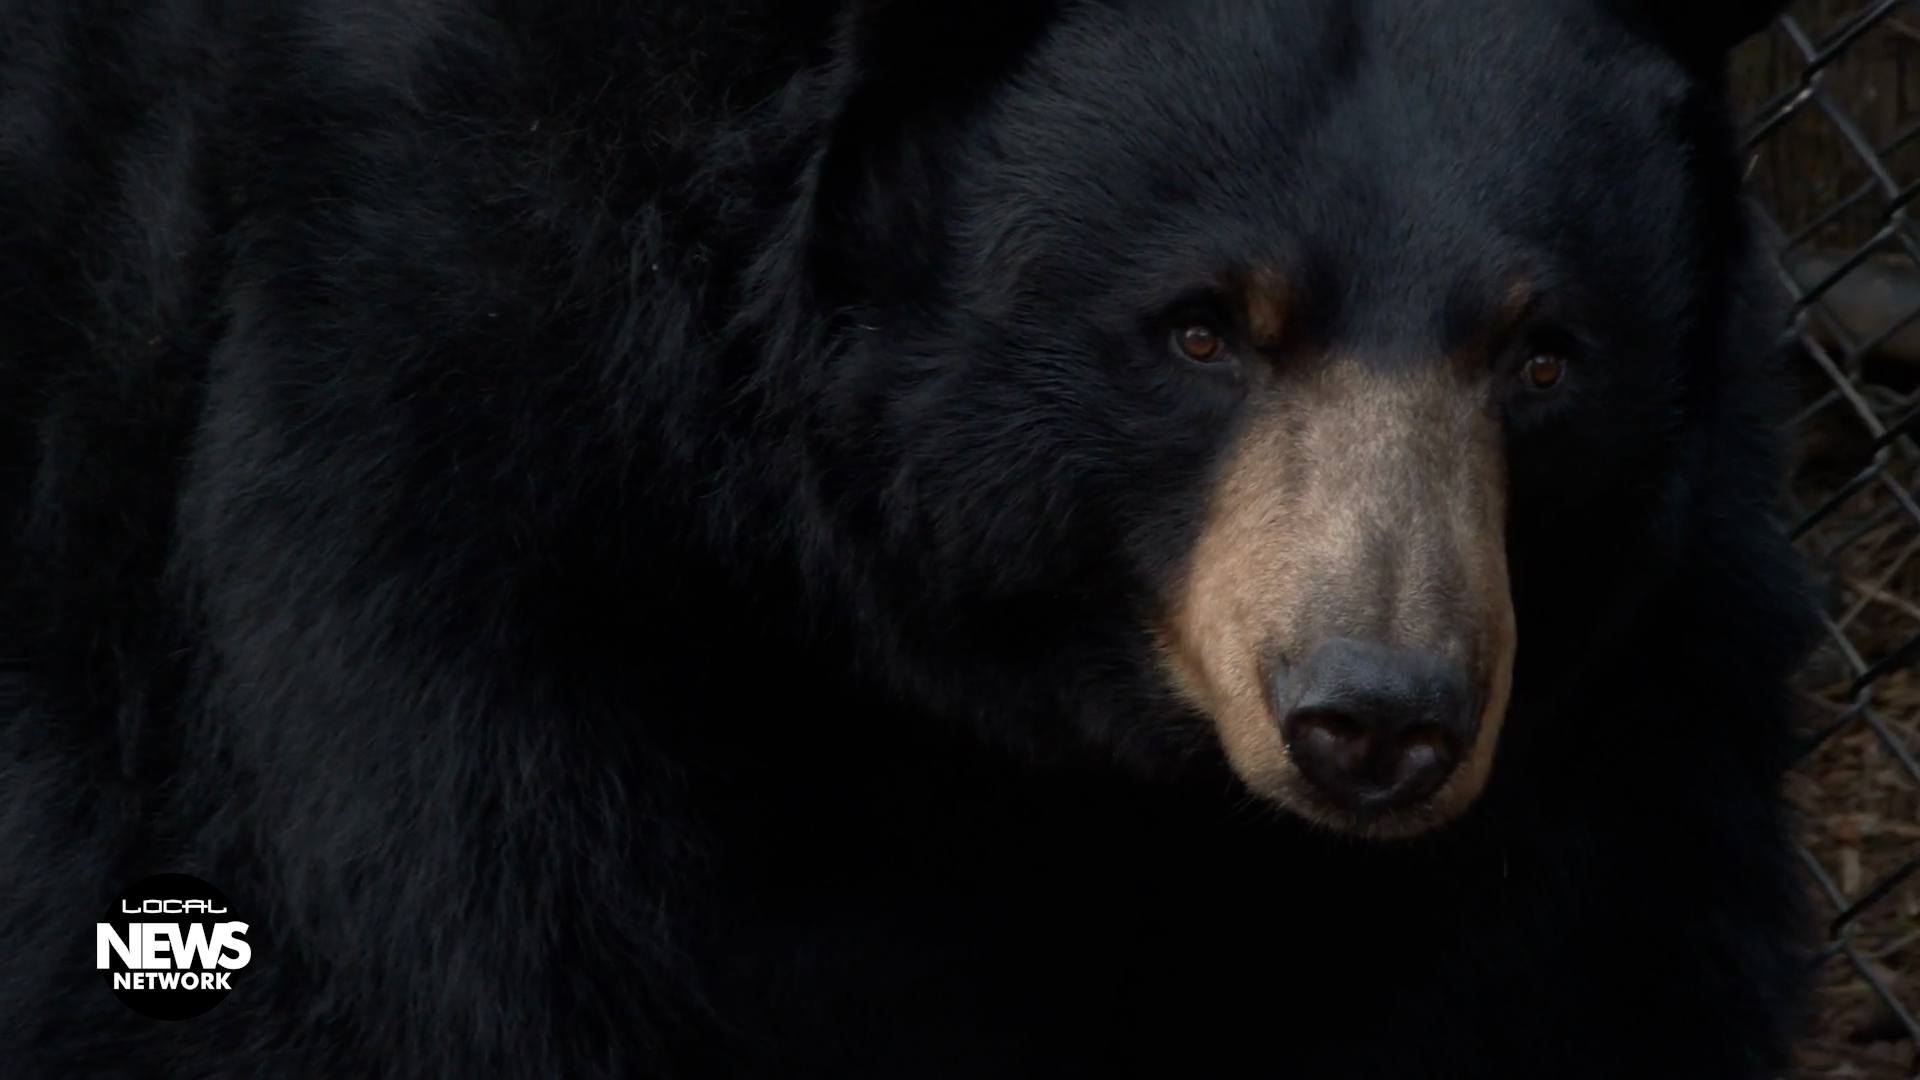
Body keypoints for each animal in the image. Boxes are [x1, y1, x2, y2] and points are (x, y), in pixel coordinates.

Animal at [0, 0, 1820, 1076]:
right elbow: (472, 958)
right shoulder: (445, 475)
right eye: (1202, 329)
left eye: (1541, 355)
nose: (1377, 720)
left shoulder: (1621, 689)